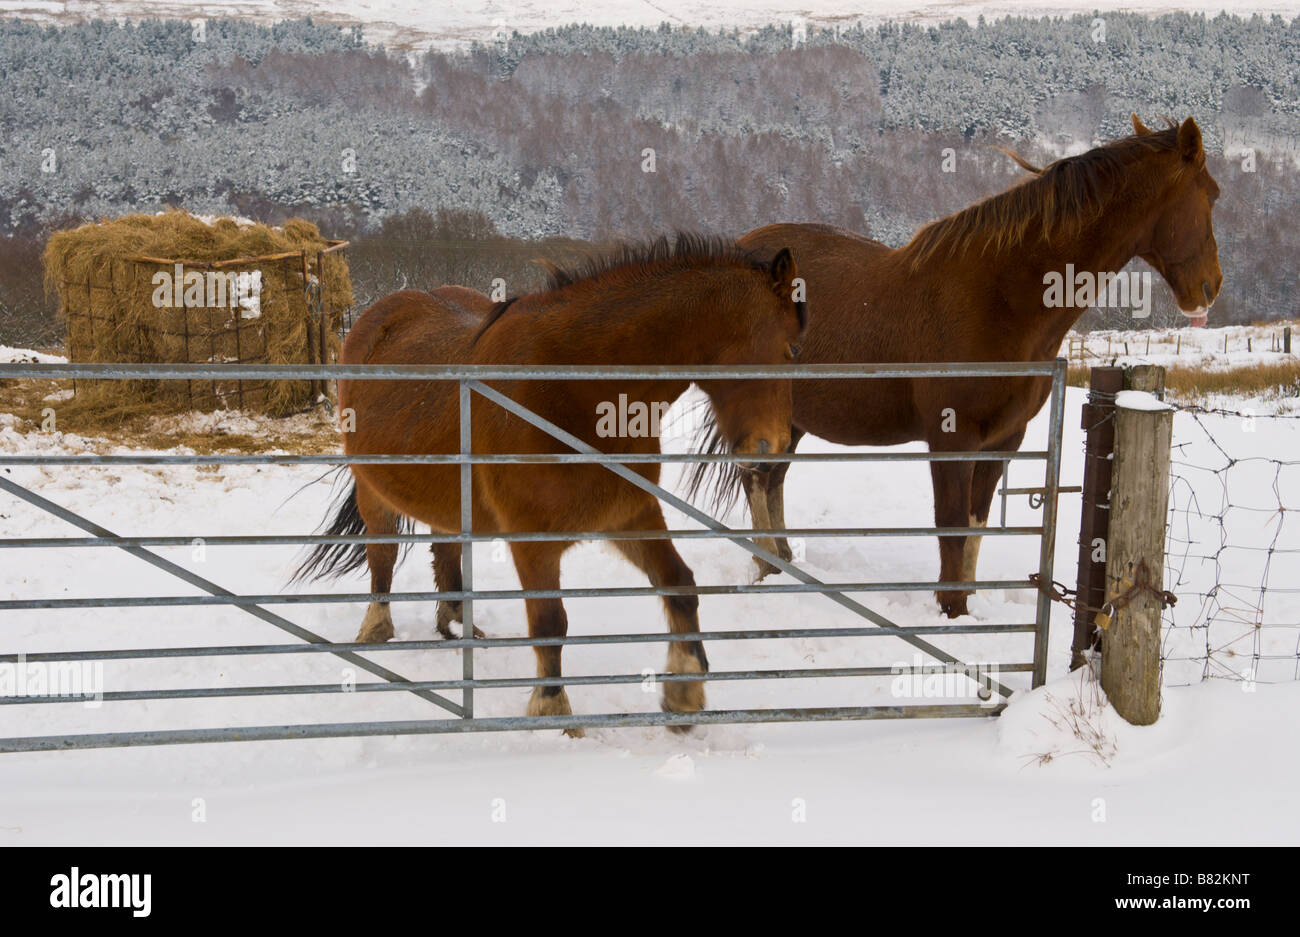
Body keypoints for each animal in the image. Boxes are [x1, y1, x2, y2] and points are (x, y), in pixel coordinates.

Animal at [296, 234, 807, 732]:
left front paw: (684, 692)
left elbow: (680, 584)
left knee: (446, 549)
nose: (772, 449)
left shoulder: (630, 514)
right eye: (792, 349)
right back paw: (377, 629)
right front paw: (553, 709)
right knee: (382, 555)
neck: (572, 392)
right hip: (372, 487)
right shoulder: (533, 541)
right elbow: (549, 622)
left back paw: (456, 623)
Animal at [734, 115, 1222, 617]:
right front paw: (952, 612)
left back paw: (783, 561)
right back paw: (768, 565)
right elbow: (952, 526)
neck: (998, 299)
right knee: (754, 477)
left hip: (791, 419)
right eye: (1213, 194)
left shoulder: (1003, 440)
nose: (1211, 287)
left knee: (771, 480)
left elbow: (975, 524)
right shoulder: (952, 439)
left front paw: (964, 604)